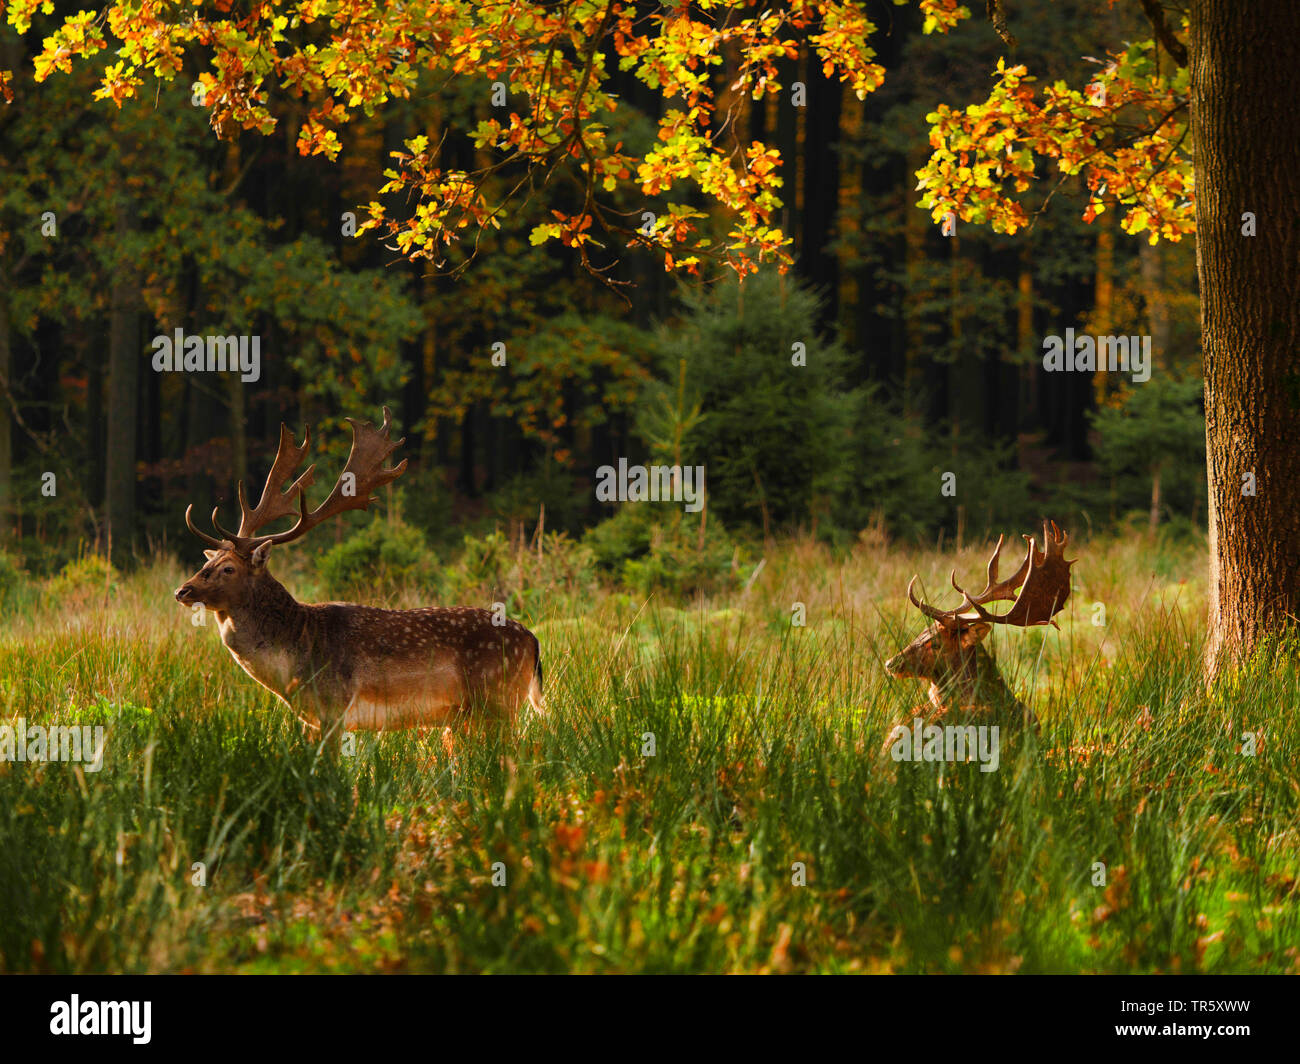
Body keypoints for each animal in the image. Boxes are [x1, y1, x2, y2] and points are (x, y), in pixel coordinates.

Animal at [174, 408, 544, 749]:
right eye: (209, 560)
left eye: (229, 568)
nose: (182, 590)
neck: (294, 663)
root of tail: (534, 641)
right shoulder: (310, 719)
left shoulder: (334, 709)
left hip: (499, 700)